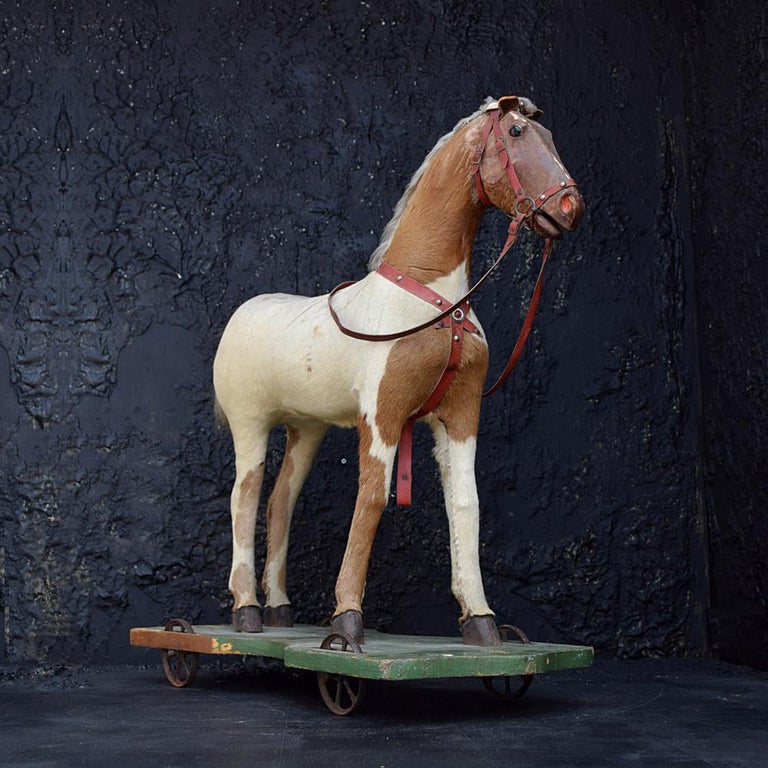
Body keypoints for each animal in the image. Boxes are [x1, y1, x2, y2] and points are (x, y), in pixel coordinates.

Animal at [213, 95, 584, 647]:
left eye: (553, 138)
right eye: (516, 132)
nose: (569, 207)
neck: (435, 301)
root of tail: (241, 314)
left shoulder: (461, 414)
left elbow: (466, 504)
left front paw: (480, 619)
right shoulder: (382, 414)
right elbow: (370, 501)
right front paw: (347, 619)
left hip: (307, 427)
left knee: (281, 501)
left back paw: (279, 608)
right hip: (250, 423)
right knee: (245, 498)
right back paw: (247, 610)